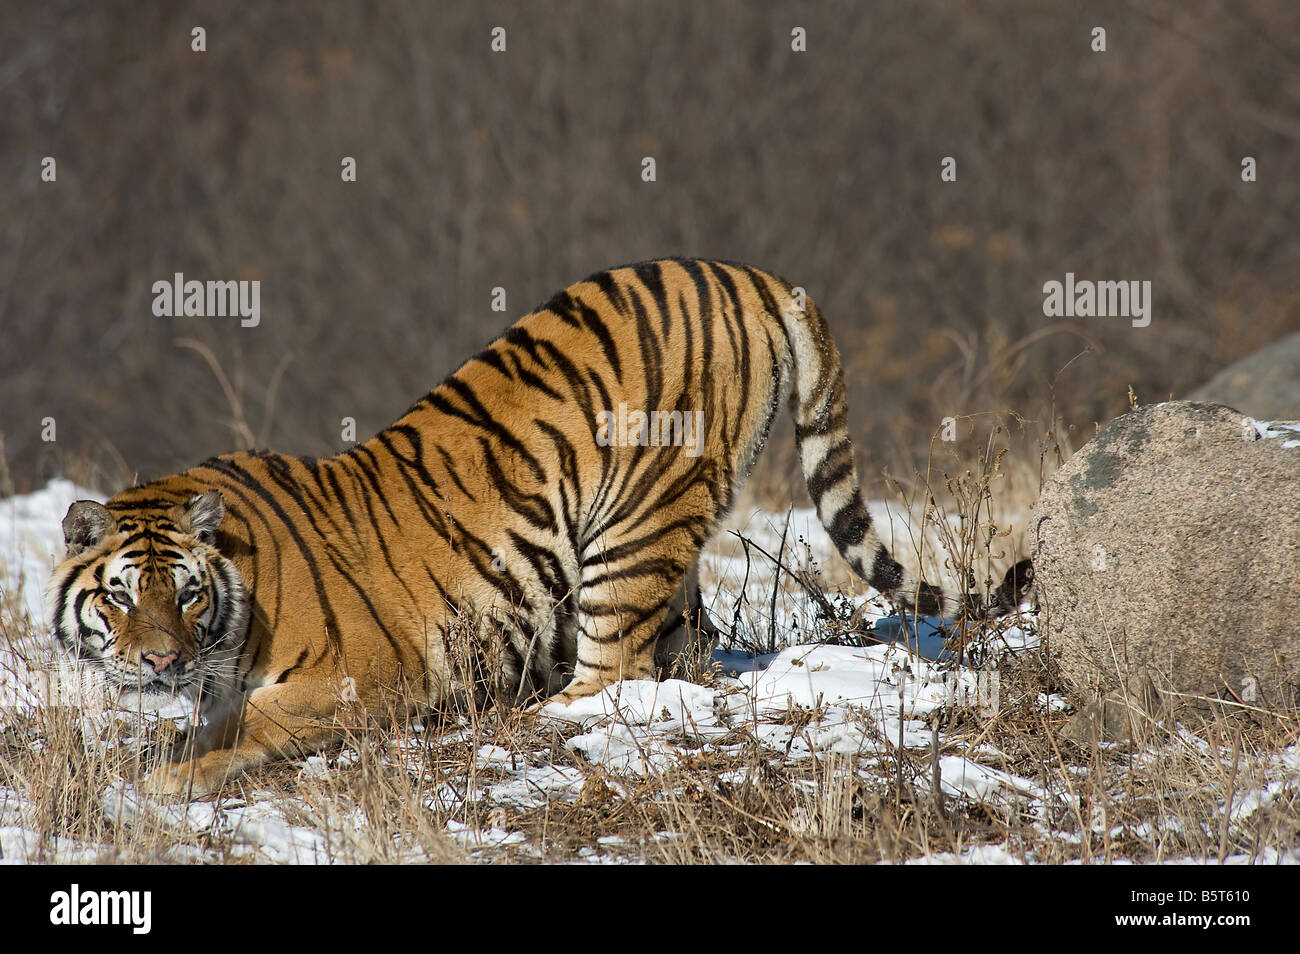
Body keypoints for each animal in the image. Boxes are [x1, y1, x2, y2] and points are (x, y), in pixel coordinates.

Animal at [48, 258, 1029, 797]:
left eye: (185, 593)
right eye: (122, 597)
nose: (158, 662)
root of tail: (755, 275)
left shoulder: (361, 672)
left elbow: (249, 728)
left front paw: (165, 781)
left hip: (632, 524)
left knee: (613, 673)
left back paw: (527, 712)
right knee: (682, 649)